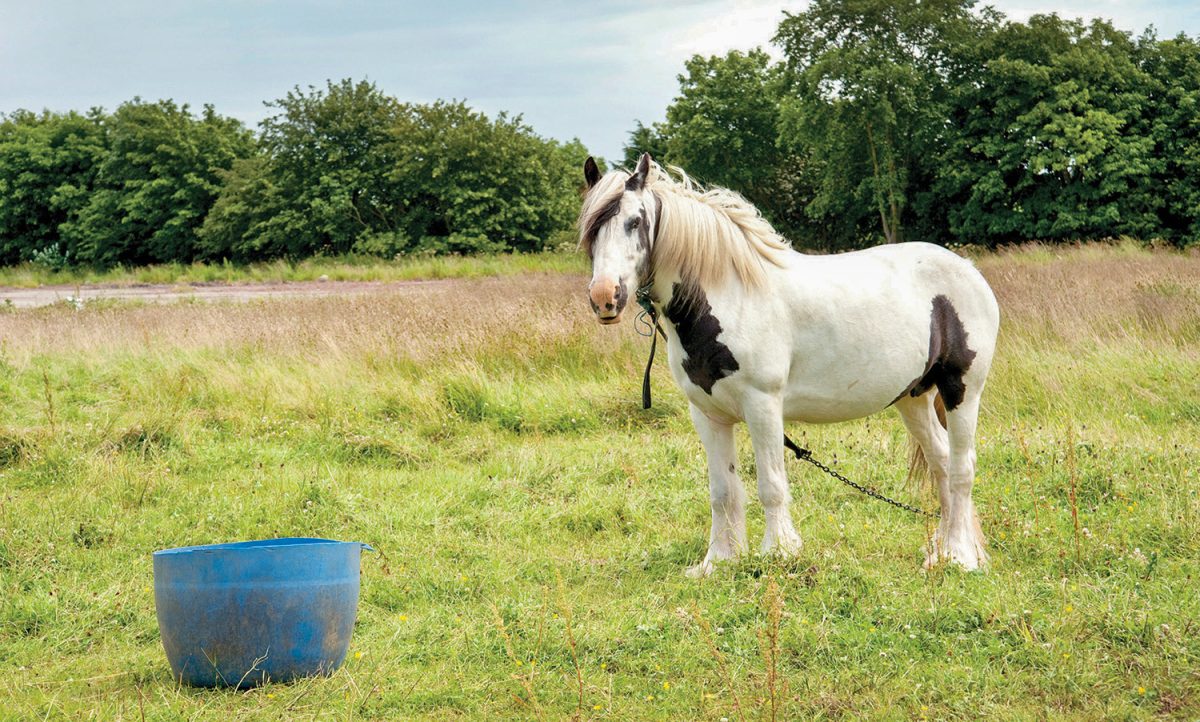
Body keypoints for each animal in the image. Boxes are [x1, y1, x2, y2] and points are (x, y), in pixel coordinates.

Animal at [579, 153, 1000, 577]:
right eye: (590, 229)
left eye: (636, 221)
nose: (605, 298)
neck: (729, 294)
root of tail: (968, 269)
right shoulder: (708, 414)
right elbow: (722, 491)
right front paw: (718, 561)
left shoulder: (762, 404)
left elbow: (771, 485)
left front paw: (779, 552)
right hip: (913, 398)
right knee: (942, 461)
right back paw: (941, 553)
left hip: (962, 390)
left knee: (962, 469)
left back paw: (961, 556)